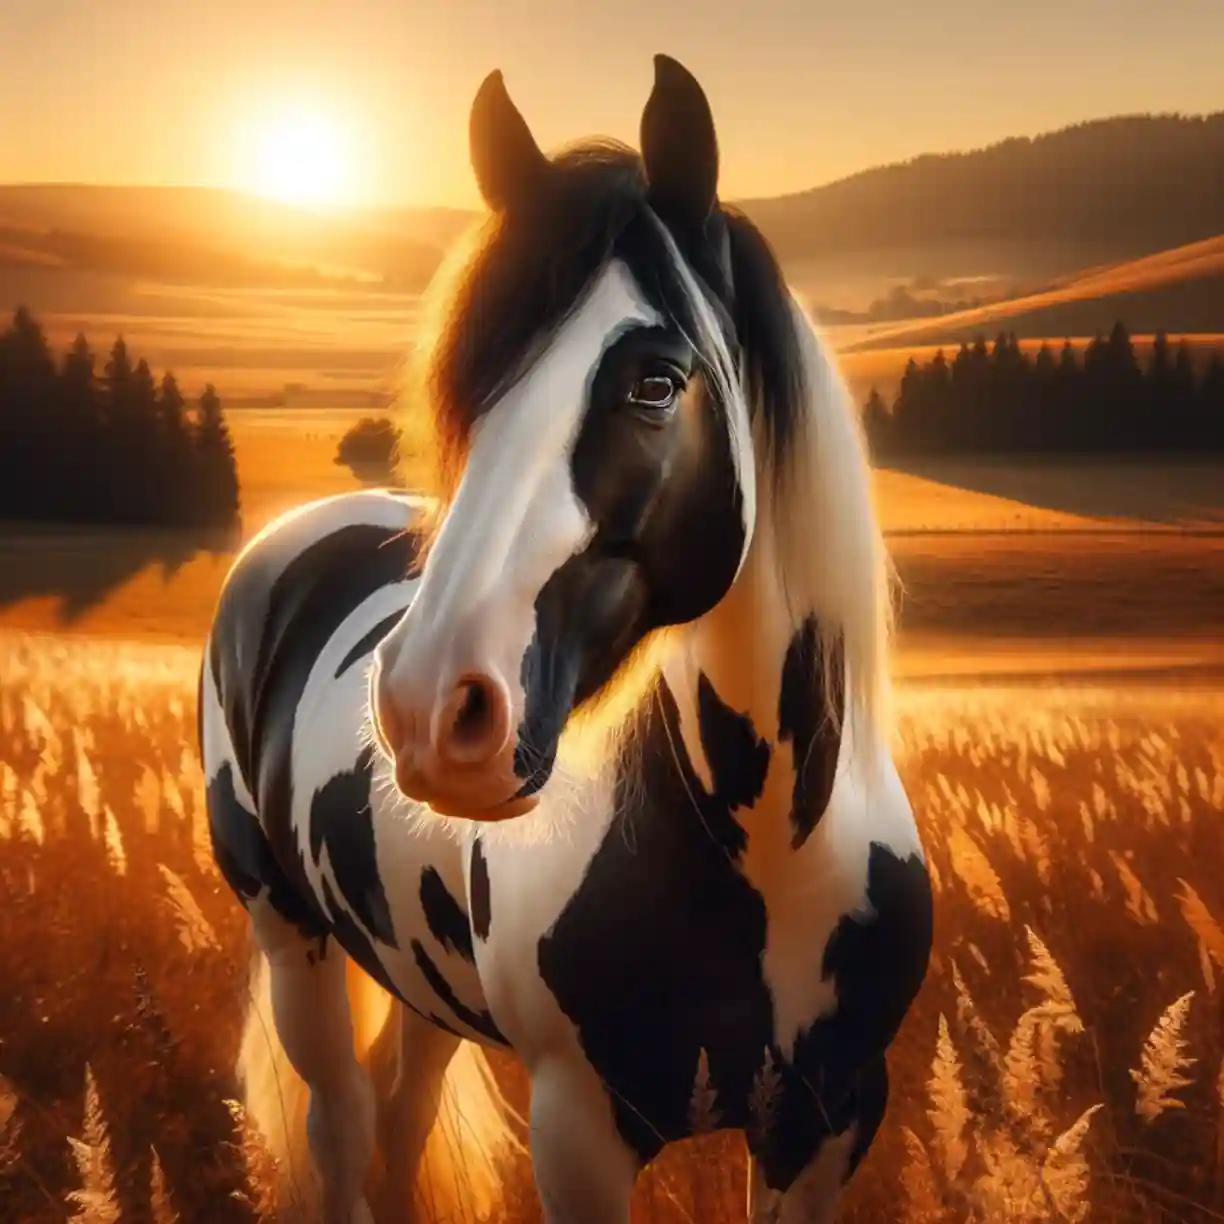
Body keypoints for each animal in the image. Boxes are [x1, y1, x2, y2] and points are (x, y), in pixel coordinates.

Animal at [199, 54, 933, 1224]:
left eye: (656, 382)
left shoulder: (830, 1122)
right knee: (343, 1124)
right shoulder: (579, 1127)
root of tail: (291, 539)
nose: (429, 710)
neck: (776, 849)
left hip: (422, 982)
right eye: (473, 387)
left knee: (399, 1121)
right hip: (290, 939)